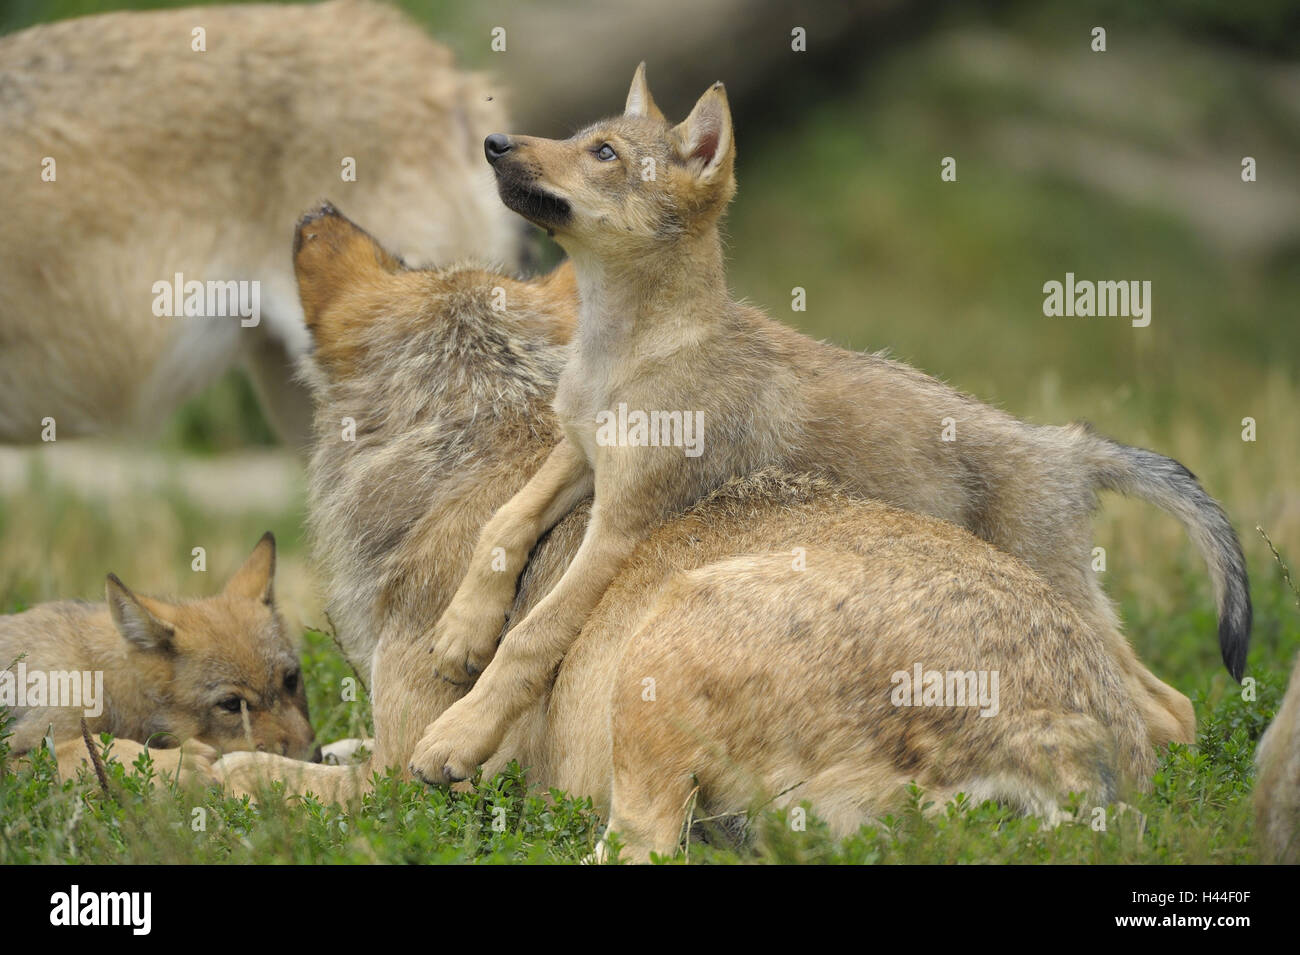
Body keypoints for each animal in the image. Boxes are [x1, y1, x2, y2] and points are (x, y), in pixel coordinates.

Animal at [1, 533, 316, 783]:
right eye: (231, 704)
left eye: (291, 681)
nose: (314, 760)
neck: (103, 680)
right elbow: (82, 748)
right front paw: (176, 764)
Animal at [217, 206, 1154, 861]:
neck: (467, 441)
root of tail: (1077, 764)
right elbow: (320, 744)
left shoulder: (395, 777)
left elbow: (254, 773)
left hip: (668, 637)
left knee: (639, 847)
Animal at [409, 64, 1248, 783]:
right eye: (582, 137)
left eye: (604, 153)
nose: (494, 142)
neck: (625, 350)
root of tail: (1066, 446)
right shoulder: (579, 453)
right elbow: (503, 524)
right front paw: (458, 632)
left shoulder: (620, 524)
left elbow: (532, 638)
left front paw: (456, 735)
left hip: (1068, 603)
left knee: (1172, 706)